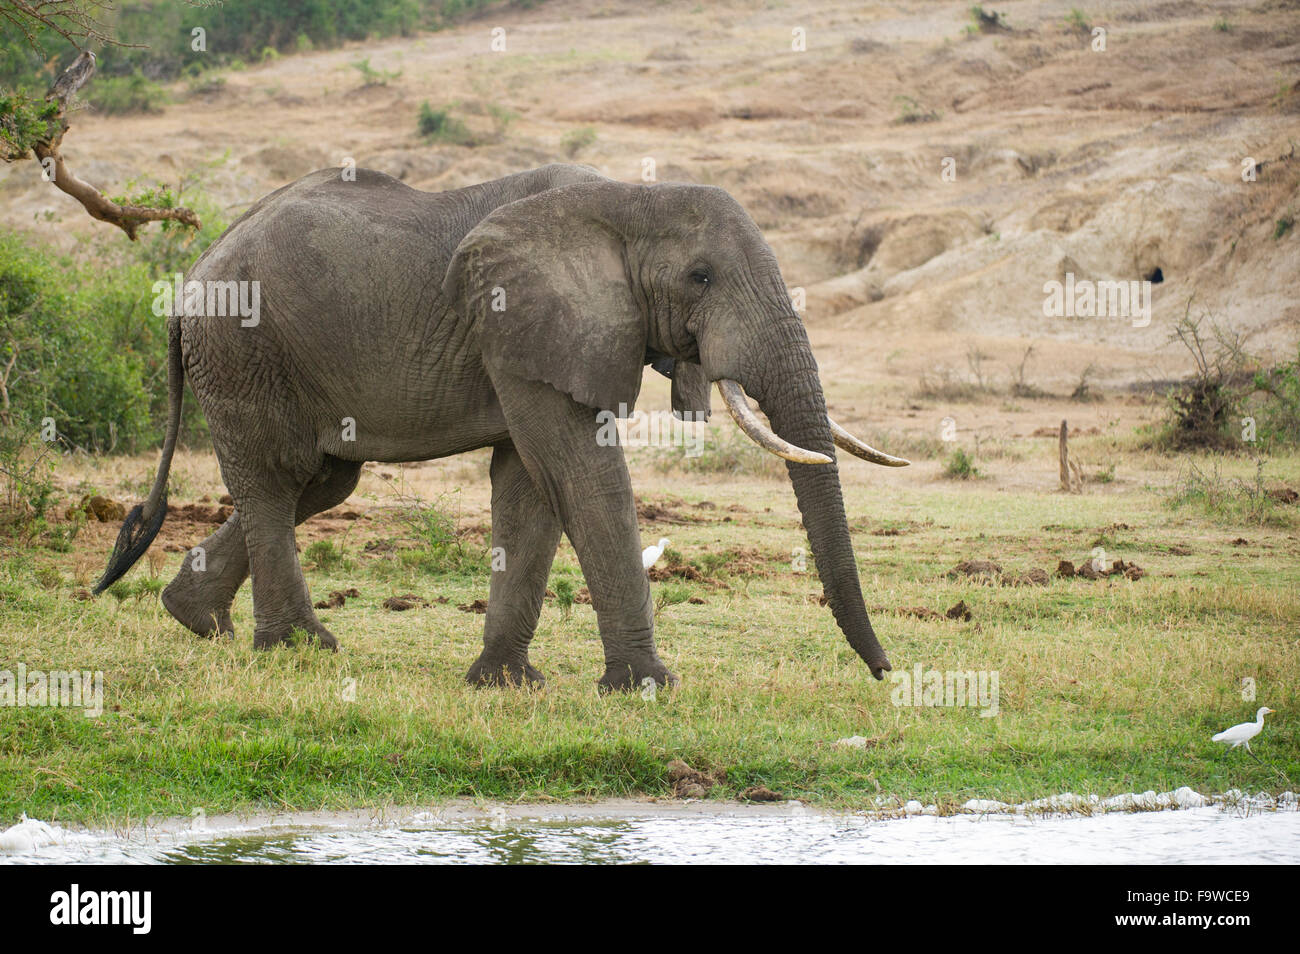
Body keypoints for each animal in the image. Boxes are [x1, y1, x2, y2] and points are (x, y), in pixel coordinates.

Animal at [94, 162, 909, 691]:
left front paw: (505, 683)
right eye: (700, 277)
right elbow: (579, 472)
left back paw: (199, 622)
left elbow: (530, 486)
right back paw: (301, 650)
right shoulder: (518, 318)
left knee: (319, 483)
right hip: (244, 348)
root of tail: (189, 278)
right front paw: (647, 687)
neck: (627, 197)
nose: (884, 672)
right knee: (277, 480)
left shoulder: (533, 340)